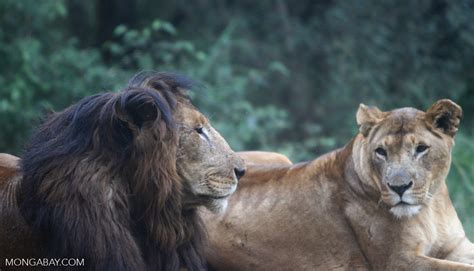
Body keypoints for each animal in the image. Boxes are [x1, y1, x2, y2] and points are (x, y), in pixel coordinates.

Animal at [203, 100, 474, 271]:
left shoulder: (457, 246)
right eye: (381, 152)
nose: (399, 187)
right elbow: (457, 269)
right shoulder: (397, 261)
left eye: (421, 148)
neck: (430, 206)